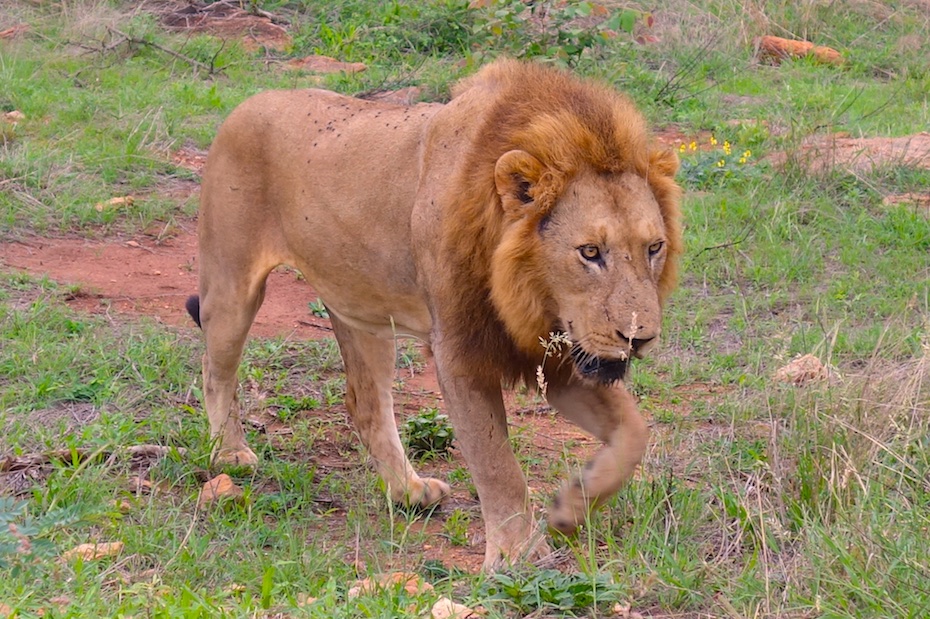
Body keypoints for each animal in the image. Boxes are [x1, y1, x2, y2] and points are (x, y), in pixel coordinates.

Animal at [186, 59, 682, 571]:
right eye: (589, 252)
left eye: (654, 247)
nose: (638, 338)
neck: (529, 296)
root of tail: (249, 102)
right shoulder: (461, 352)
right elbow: (497, 464)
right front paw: (518, 558)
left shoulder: (562, 356)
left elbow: (635, 432)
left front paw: (571, 508)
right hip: (231, 286)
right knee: (214, 369)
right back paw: (230, 454)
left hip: (365, 313)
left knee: (366, 403)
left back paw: (409, 491)